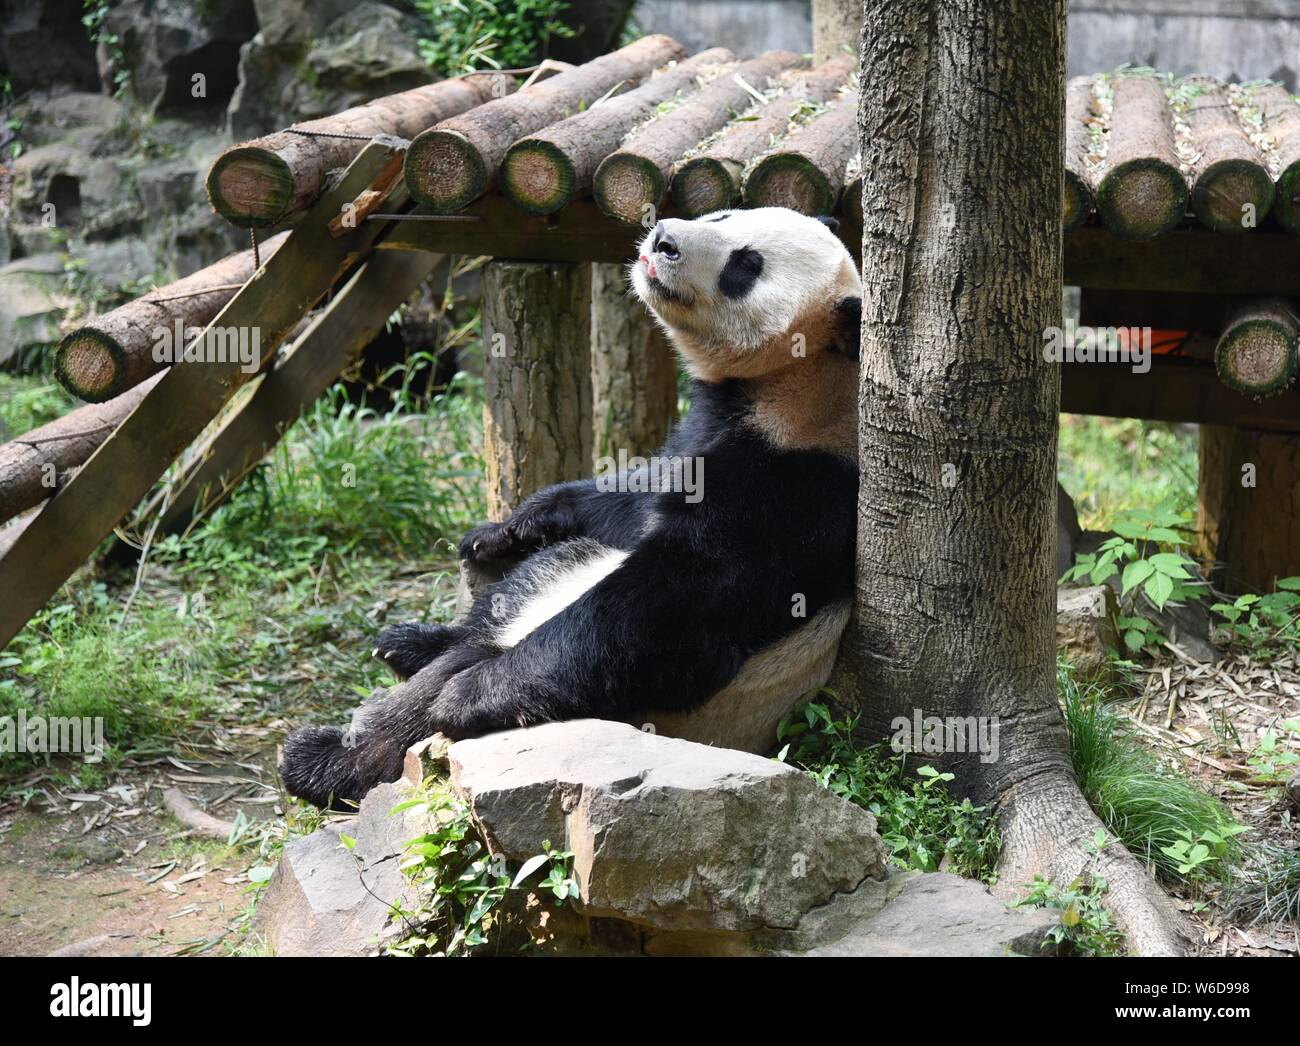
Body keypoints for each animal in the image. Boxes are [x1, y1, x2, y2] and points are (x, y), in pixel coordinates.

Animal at [280, 207, 863, 809]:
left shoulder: (788, 490)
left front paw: (466, 697)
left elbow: (664, 613)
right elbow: (628, 500)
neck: (789, 385)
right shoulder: (697, 440)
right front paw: (505, 530)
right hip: (561, 577)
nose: (664, 239)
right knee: (527, 582)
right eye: (725, 214)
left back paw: (330, 755)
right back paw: (411, 644)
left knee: (474, 672)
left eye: (745, 266)